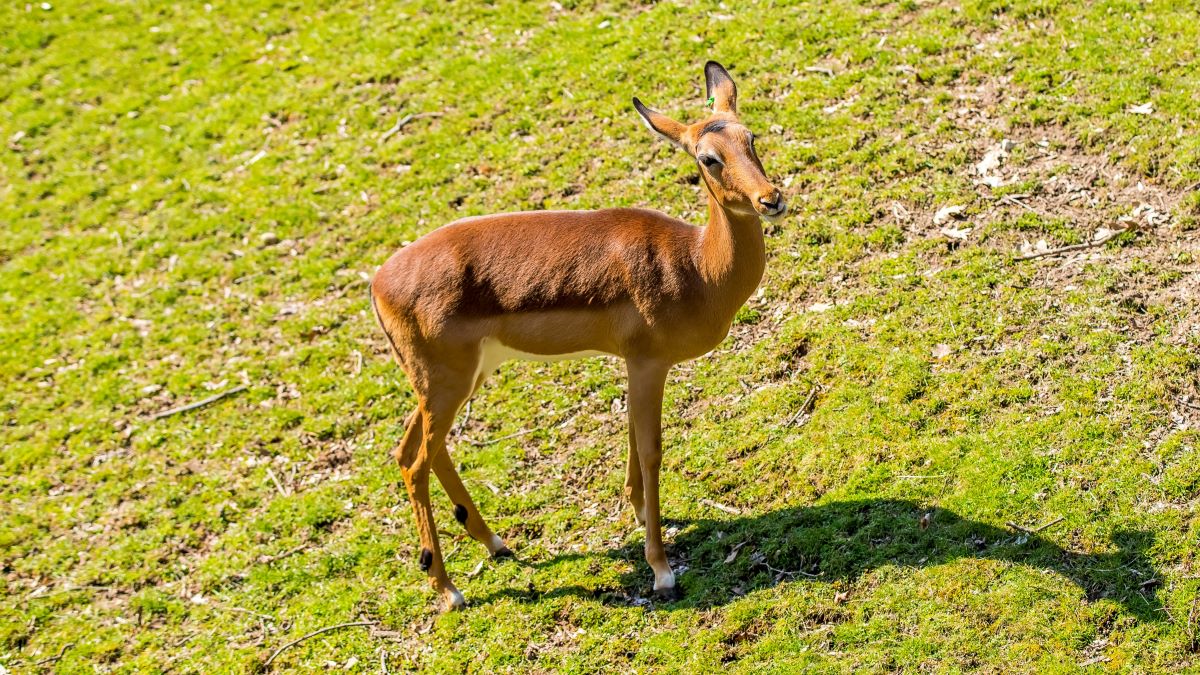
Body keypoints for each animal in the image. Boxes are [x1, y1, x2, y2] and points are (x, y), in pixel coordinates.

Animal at [370, 61, 786, 611]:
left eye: (750, 137)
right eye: (708, 157)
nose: (771, 199)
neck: (695, 264)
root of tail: (377, 283)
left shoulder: (636, 366)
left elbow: (632, 437)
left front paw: (637, 515)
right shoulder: (648, 364)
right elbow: (651, 451)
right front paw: (661, 570)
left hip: (456, 381)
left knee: (413, 451)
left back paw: (497, 544)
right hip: (447, 384)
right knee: (415, 463)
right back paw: (449, 589)